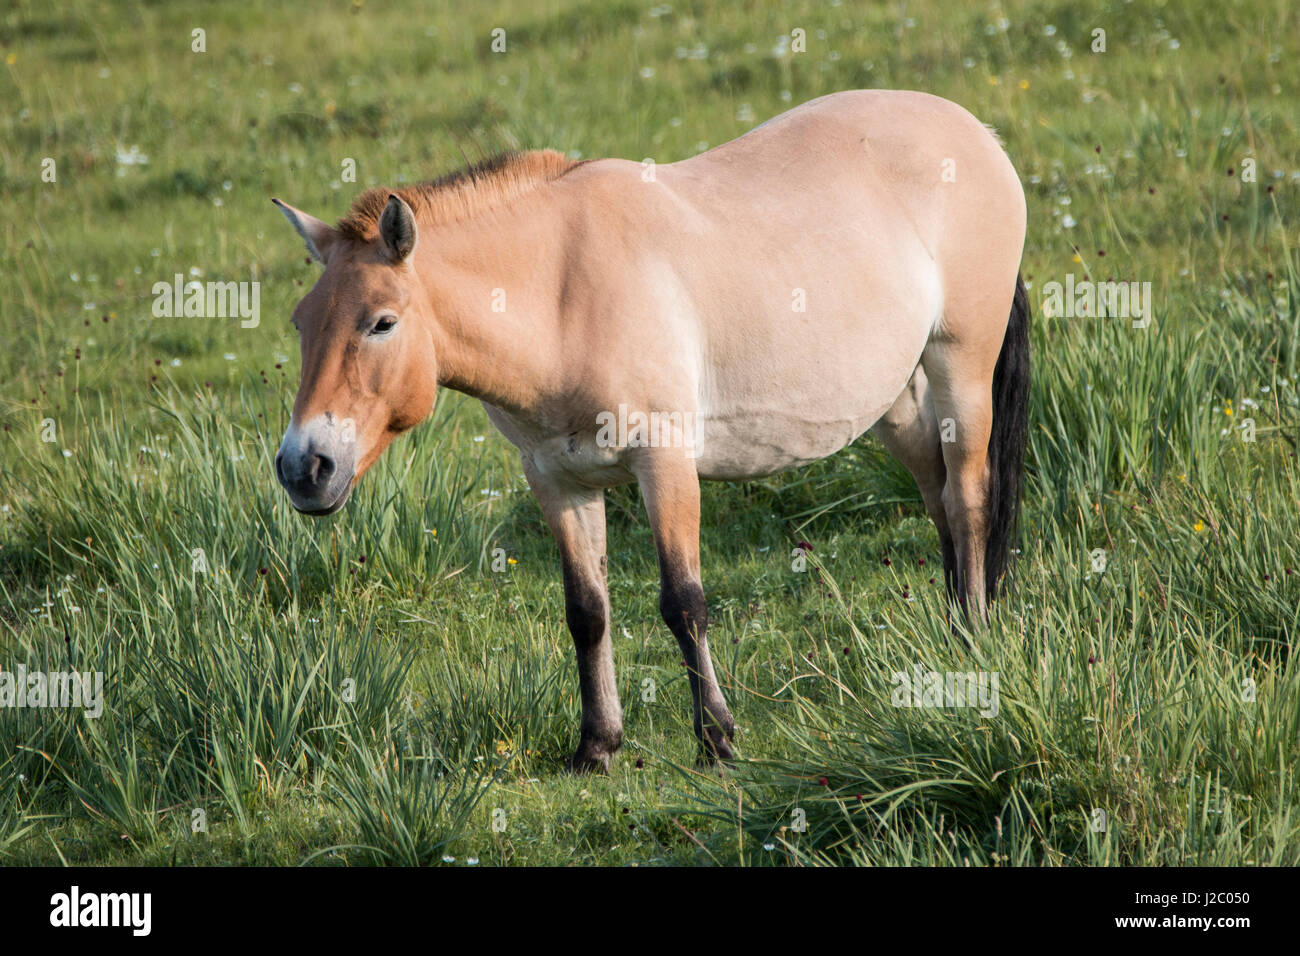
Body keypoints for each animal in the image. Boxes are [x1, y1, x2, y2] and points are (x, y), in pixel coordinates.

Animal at [271, 89, 1030, 772]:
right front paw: (597, 747)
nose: (304, 468)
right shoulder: (557, 480)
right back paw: (952, 632)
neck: (563, 292)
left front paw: (717, 739)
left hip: (960, 369)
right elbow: (587, 611)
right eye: (302, 323)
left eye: (382, 322)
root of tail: (978, 134)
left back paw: (974, 646)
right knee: (938, 501)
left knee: (967, 498)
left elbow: (682, 603)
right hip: (898, 401)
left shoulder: (663, 464)